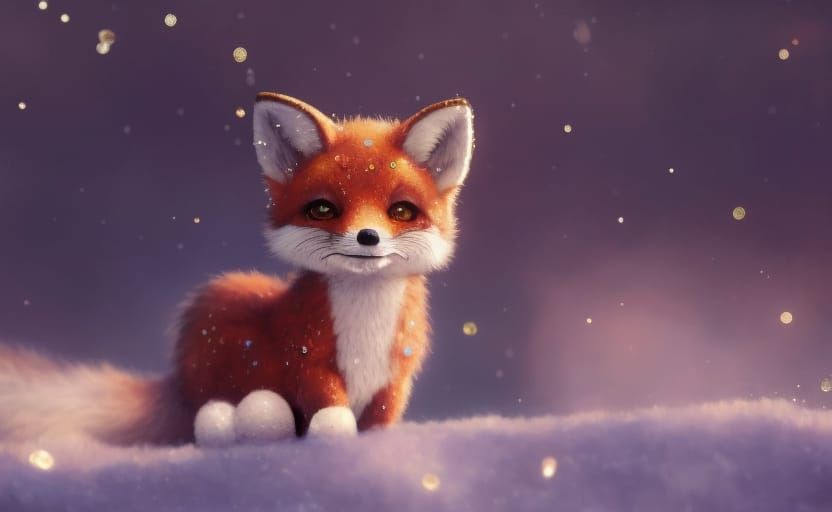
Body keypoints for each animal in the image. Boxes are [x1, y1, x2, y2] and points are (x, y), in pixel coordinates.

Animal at [0, 92, 475, 446]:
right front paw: (333, 432)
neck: (365, 329)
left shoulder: (397, 375)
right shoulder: (306, 358)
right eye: (323, 209)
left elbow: (382, 415)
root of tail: (177, 381)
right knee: (209, 416)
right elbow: (327, 401)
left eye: (401, 211)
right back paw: (245, 421)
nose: (367, 237)